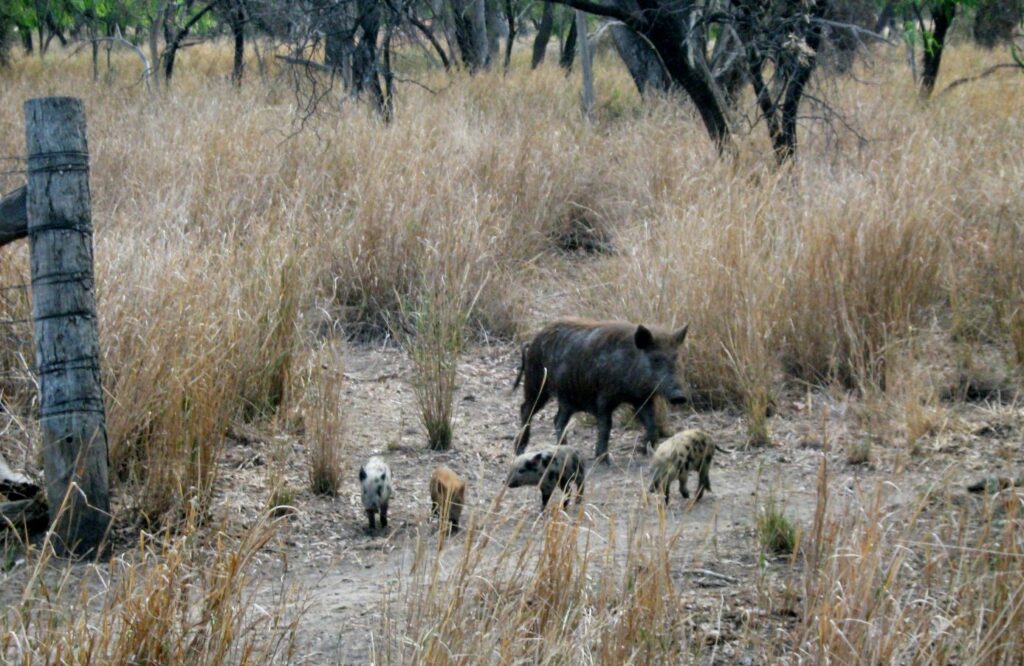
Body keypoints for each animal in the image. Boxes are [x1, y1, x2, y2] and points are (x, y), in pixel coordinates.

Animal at [512, 318, 689, 463]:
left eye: (677, 358)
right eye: (656, 359)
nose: (680, 396)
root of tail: (533, 342)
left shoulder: (642, 399)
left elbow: (652, 424)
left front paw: (644, 450)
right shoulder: (604, 397)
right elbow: (605, 426)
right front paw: (604, 459)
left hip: (567, 398)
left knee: (558, 419)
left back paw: (566, 449)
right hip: (536, 384)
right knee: (526, 409)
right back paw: (520, 450)